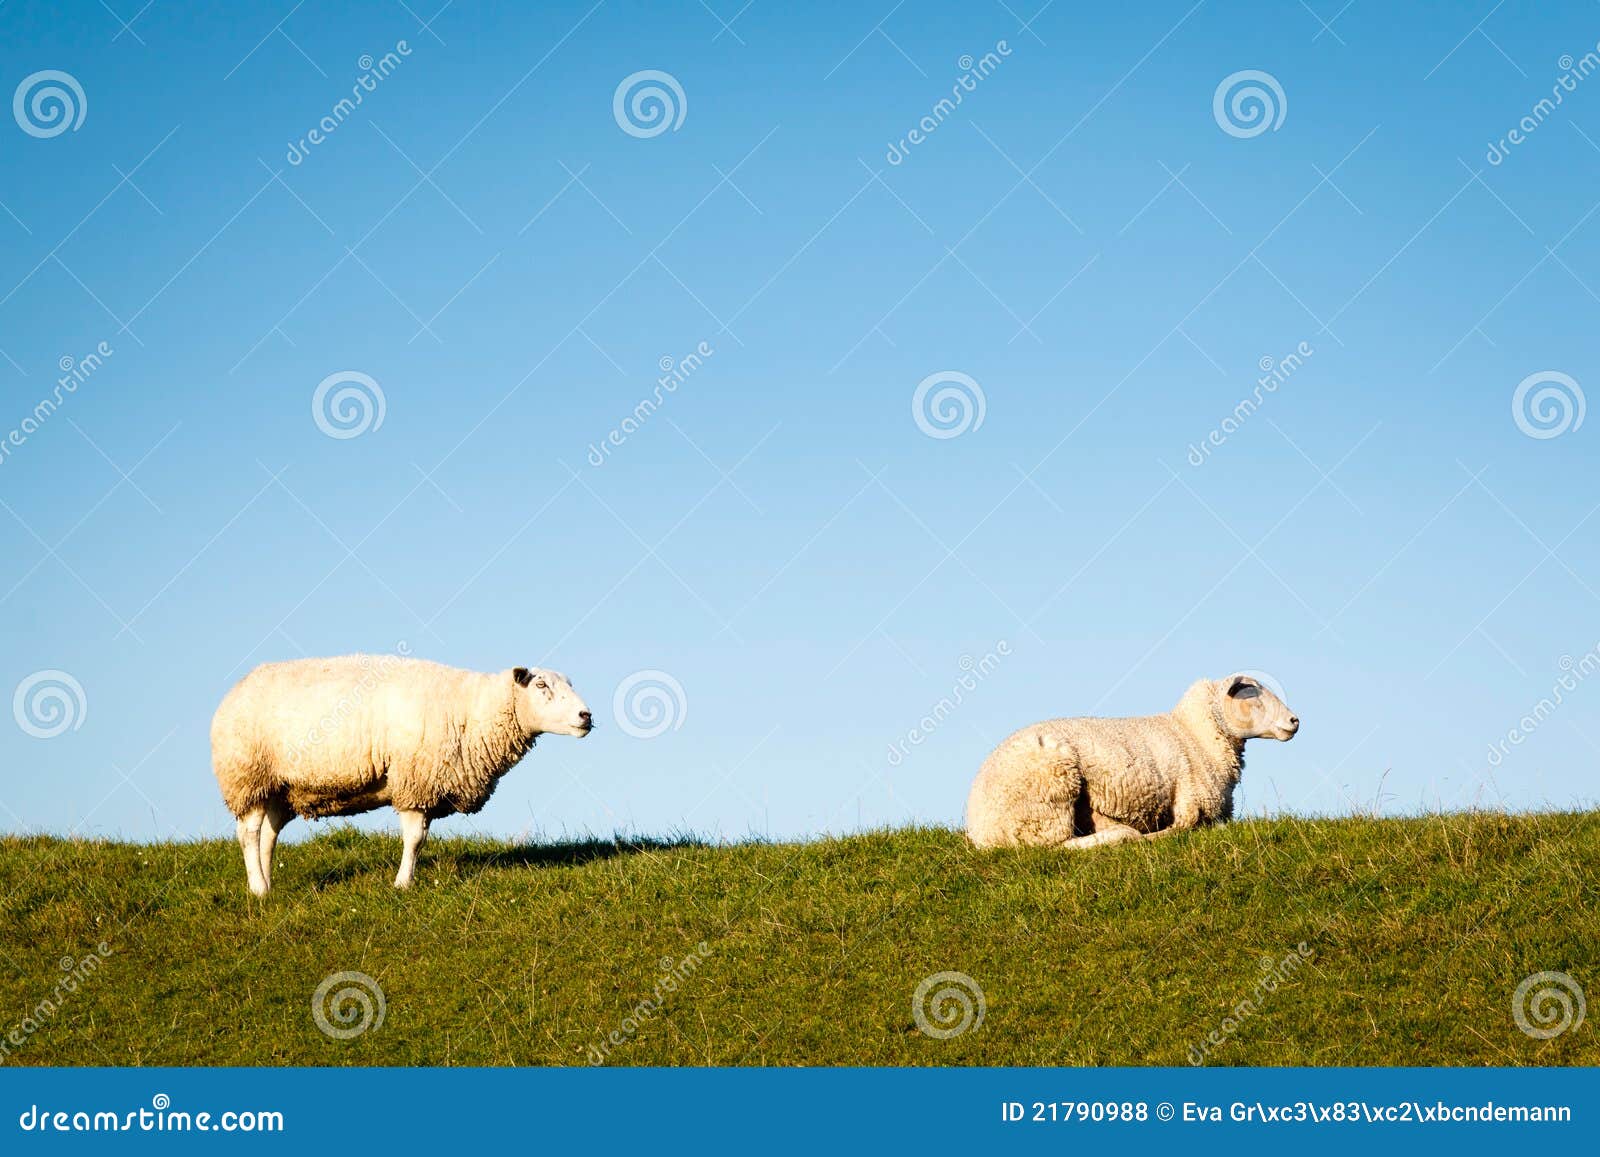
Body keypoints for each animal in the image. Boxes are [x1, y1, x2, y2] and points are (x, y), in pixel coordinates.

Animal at [211, 655, 593, 894]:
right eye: (541, 685)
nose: (586, 716)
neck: (471, 709)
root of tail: (233, 692)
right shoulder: (415, 781)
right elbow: (415, 839)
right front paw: (403, 884)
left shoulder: (427, 785)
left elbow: (420, 839)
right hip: (247, 776)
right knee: (248, 834)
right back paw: (258, 890)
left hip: (279, 788)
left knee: (267, 837)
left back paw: (267, 883)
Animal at [965, 674, 1298, 849]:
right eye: (1253, 698)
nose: (1294, 721)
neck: (1192, 732)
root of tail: (978, 828)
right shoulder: (1192, 799)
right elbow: (1186, 827)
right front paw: (1151, 837)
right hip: (1048, 800)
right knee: (1055, 846)